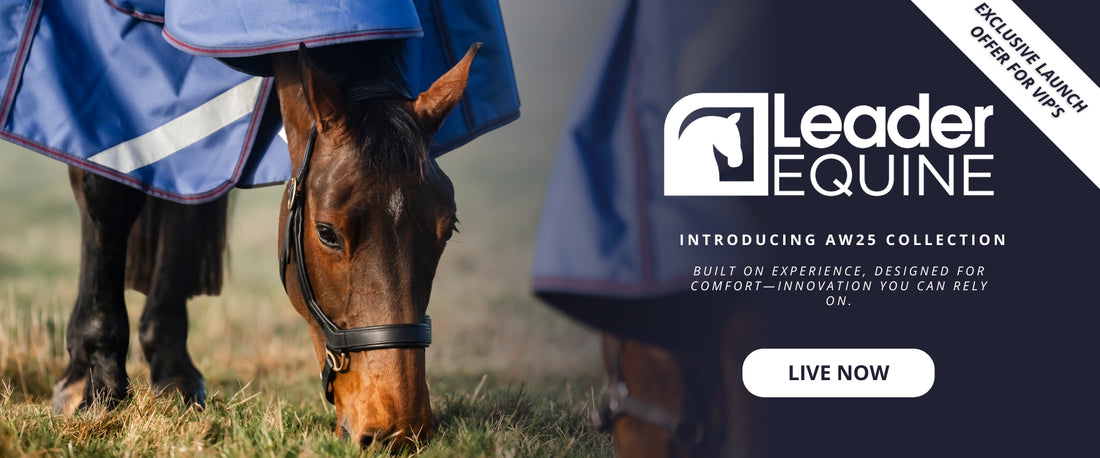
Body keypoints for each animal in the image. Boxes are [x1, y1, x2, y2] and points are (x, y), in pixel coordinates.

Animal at [49, 39, 477, 448]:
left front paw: (173, 381)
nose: (401, 430)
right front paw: (102, 387)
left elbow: (186, 196)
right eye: (327, 233)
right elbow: (108, 189)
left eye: (448, 229)